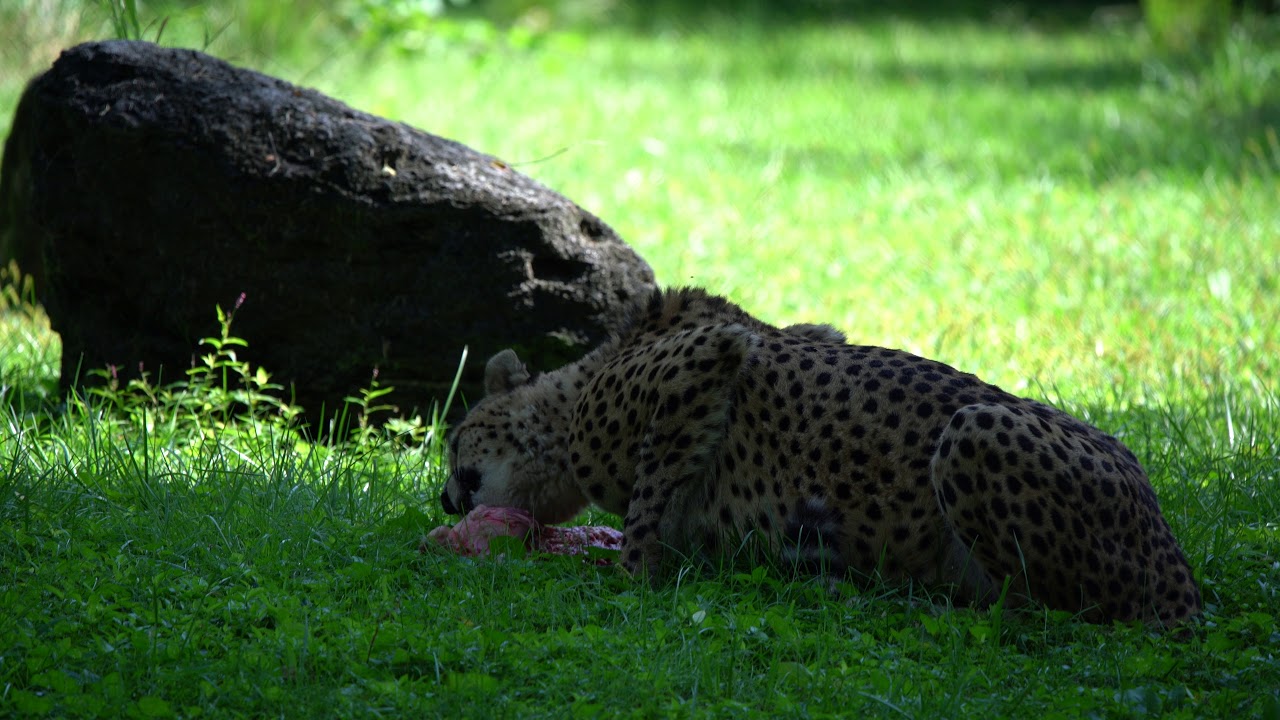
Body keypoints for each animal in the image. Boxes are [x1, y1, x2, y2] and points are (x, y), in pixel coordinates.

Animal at [441, 287, 1201, 626]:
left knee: (1047, 613)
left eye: (452, 445)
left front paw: (624, 576)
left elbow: (647, 511)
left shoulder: (704, 361)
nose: (446, 499)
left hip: (974, 430)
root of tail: (1180, 571)